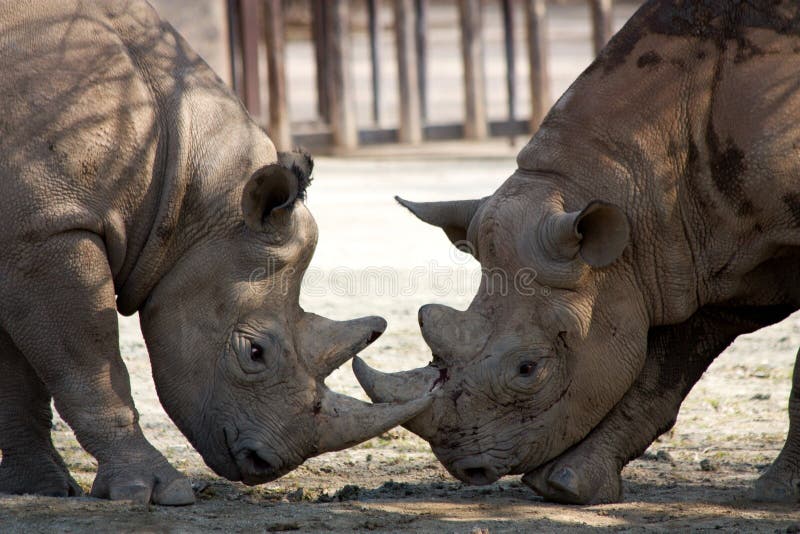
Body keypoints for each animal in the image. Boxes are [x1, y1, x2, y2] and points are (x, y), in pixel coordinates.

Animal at [0, 0, 430, 505]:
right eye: (256, 353)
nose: (267, 465)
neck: (183, 186)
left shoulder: (22, 236)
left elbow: (18, 378)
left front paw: (40, 487)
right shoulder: (49, 228)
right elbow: (90, 364)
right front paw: (155, 492)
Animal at [355, 0, 800, 504]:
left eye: (528, 368)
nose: (465, 466)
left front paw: (773, 493)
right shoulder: (705, 255)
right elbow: (660, 372)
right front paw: (566, 484)